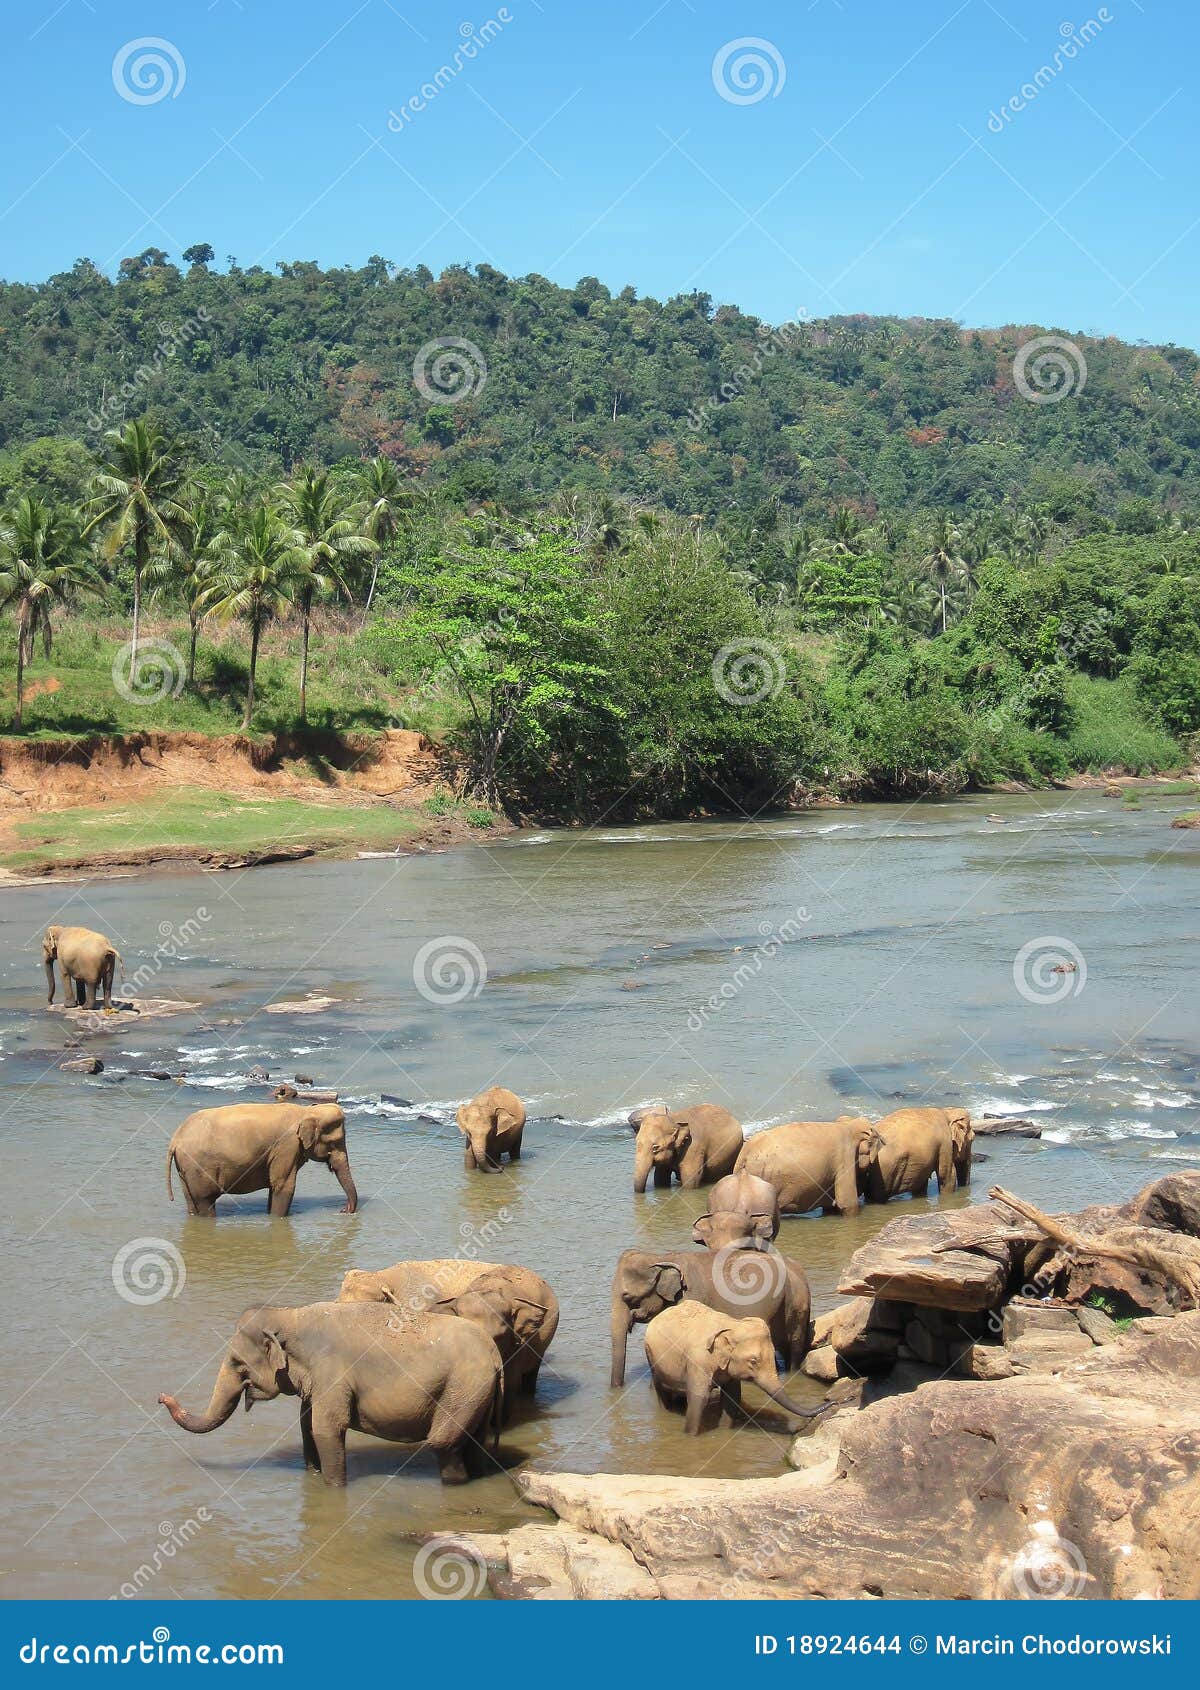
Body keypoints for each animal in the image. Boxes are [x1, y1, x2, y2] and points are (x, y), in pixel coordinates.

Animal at [158, 1301, 503, 1486]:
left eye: (237, 1363)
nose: (161, 1396)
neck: (291, 1314)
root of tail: (495, 1355)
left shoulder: (332, 1372)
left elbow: (326, 1429)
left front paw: (333, 1487)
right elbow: (306, 1427)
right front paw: (312, 1475)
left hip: (463, 1388)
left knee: (443, 1442)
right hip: (477, 1395)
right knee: (475, 1441)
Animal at [166, 1102, 358, 1217]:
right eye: (335, 1143)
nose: (344, 1210)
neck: (306, 1111)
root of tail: (175, 1140)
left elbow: (275, 1186)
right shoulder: (286, 1146)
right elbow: (283, 1185)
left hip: (185, 1170)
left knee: (191, 1200)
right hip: (198, 1167)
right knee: (205, 1200)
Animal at [643, 1301, 828, 1436]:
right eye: (754, 1361)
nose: (831, 1402)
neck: (733, 1325)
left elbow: (732, 1397)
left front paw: (725, 1431)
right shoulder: (698, 1360)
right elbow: (698, 1398)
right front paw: (689, 1436)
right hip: (651, 1358)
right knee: (662, 1390)